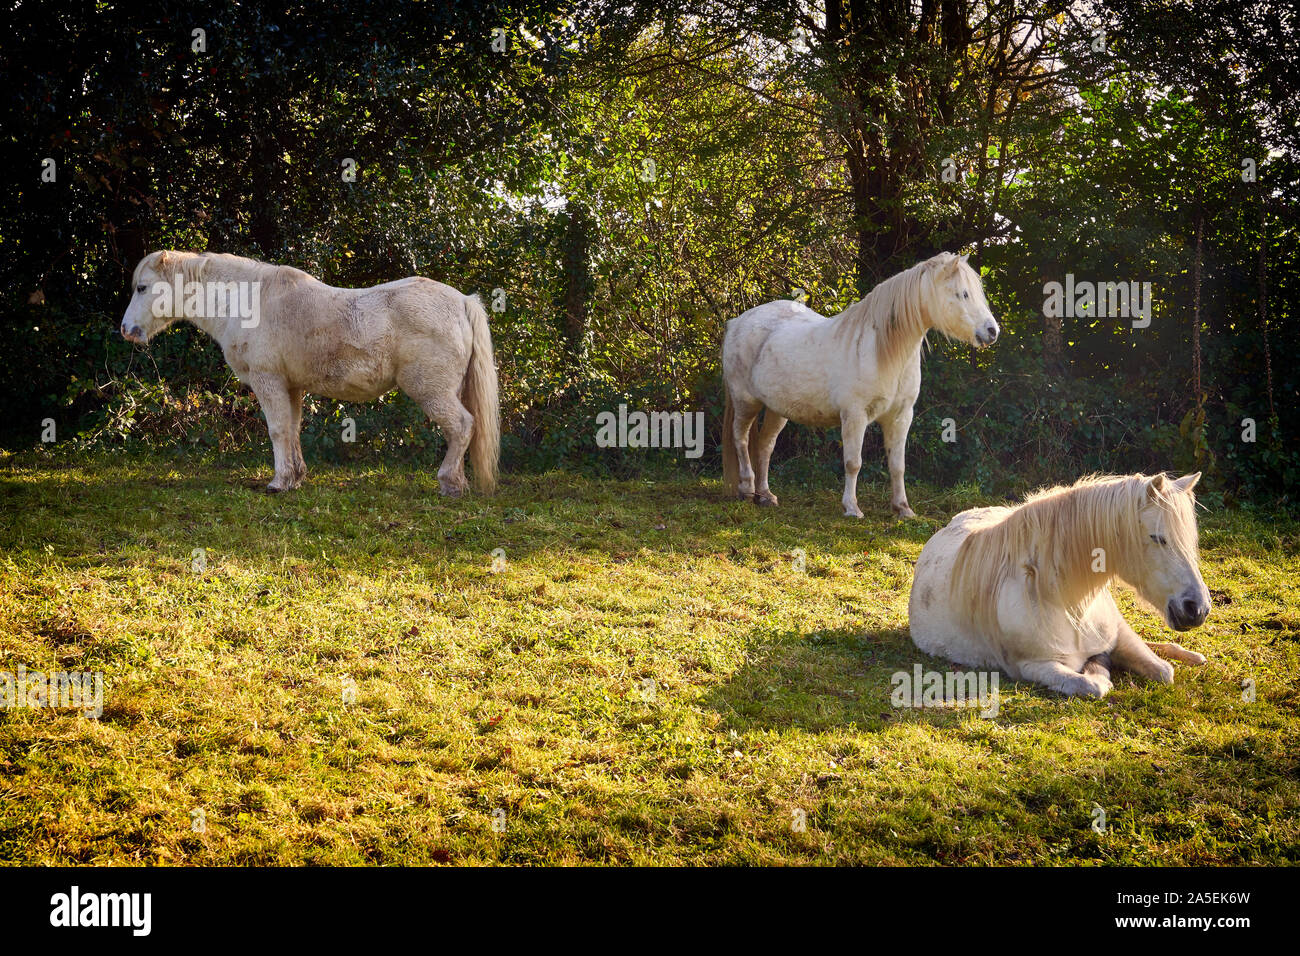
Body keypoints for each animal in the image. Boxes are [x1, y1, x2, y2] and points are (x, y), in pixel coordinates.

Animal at [120, 251, 499, 495]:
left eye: (142, 287)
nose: (126, 330)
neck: (251, 301)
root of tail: (462, 302)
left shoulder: (268, 381)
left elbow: (277, 430)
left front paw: (278, 482)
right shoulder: (291, 387)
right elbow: (292, 429)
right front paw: (295, 477)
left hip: (431, 390)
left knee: (461, 426)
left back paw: (449, 483)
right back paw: (458, 482)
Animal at [721, 252, 999, 518]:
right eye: (963, 293)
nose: (992, 331)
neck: (883, 351)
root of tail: (738, 321)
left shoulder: (901, 416)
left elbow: (898, 465)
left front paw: (903, 508)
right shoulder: (855, 416)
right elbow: (853, 463)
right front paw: (852, 508)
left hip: (777, 409)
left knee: (765, 446)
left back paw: (766, 495)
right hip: (746, 402)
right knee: (741, 439)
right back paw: (746, 489)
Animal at [908, 473, 1211, 698]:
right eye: (1157, 537)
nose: (1197, 608)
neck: (1065, 602)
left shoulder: (1119, 635)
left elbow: (1163, 671)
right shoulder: (1032, 666)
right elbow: (1093, 685)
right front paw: (1098, 670)